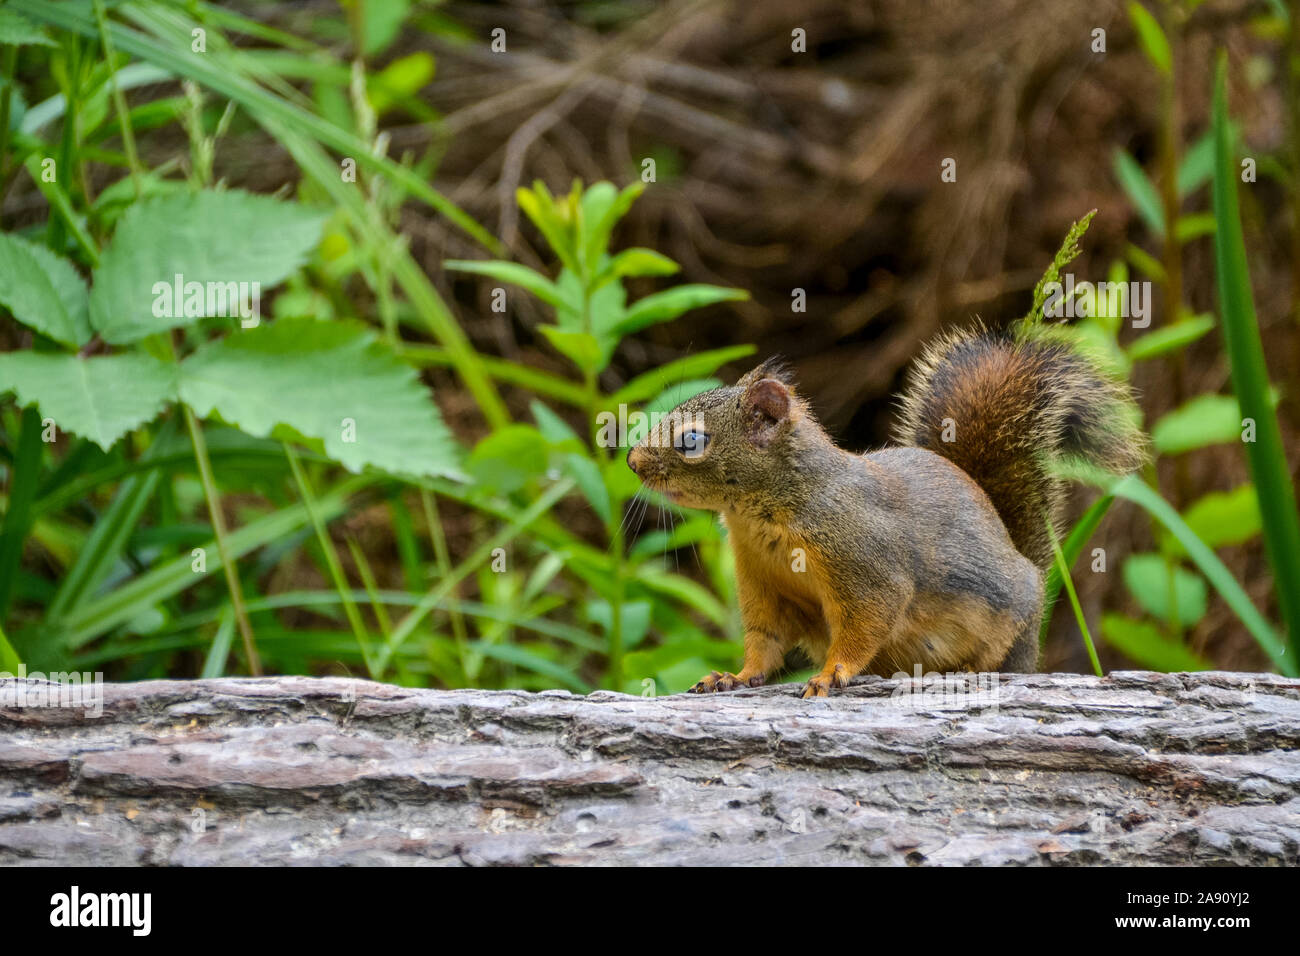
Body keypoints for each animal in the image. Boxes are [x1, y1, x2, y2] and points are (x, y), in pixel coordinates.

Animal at [626, 317, 1147, 698]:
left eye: (693, 440)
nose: (632, 462)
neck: (763, 514)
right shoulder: (763, 585)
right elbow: (764, 645)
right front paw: (732, 676)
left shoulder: (865, 560)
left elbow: (866, 621)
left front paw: (830, 674)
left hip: (1009, 625)